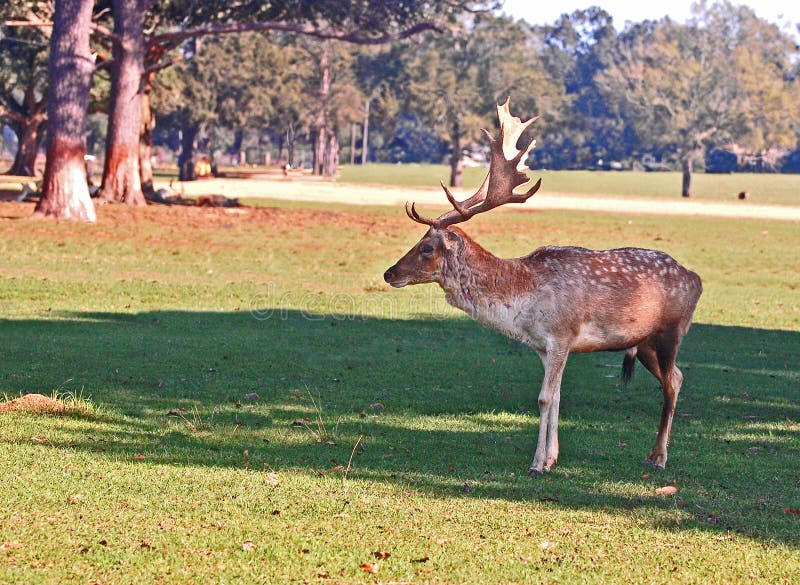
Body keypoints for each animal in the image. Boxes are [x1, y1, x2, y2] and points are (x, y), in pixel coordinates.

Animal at [383, 99, 703, 476]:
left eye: (426, 248)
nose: (389, 273)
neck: (522, 305)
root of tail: (695, 278)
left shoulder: (561, 335)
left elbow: (543, 398)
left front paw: (536, 464)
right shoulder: (543, 347)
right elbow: (558, 397)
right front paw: (552, 458)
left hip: (671, 331)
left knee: (673, 381)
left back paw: (660, 458)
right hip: (645, 342)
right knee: (677, 377)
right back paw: (652, 455)